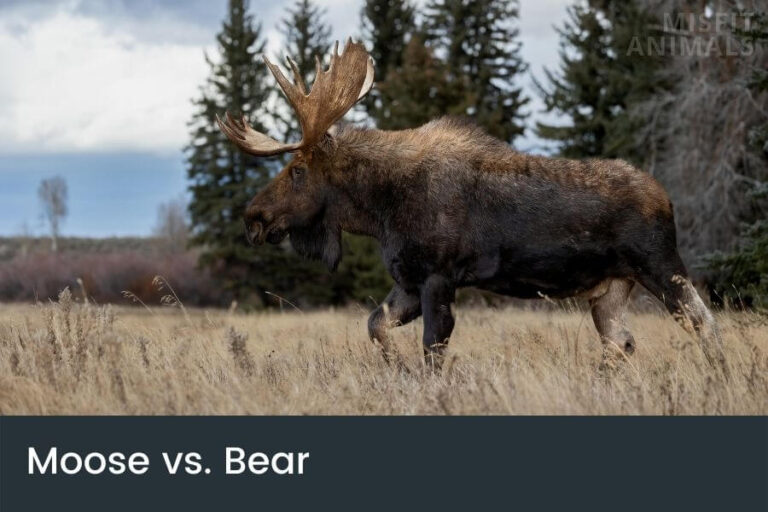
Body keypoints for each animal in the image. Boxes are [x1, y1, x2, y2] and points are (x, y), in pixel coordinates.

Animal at [217, 39, 728, 375]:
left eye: (297, 170)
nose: (253, 218)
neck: (378, 209)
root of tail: (666, 198)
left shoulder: (439, 277)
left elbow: (431, 350)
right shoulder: (408, 280)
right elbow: (375, 325)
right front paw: (396, 369)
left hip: (661, 266)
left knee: (705, 323)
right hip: (609, 291)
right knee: (622, 343)